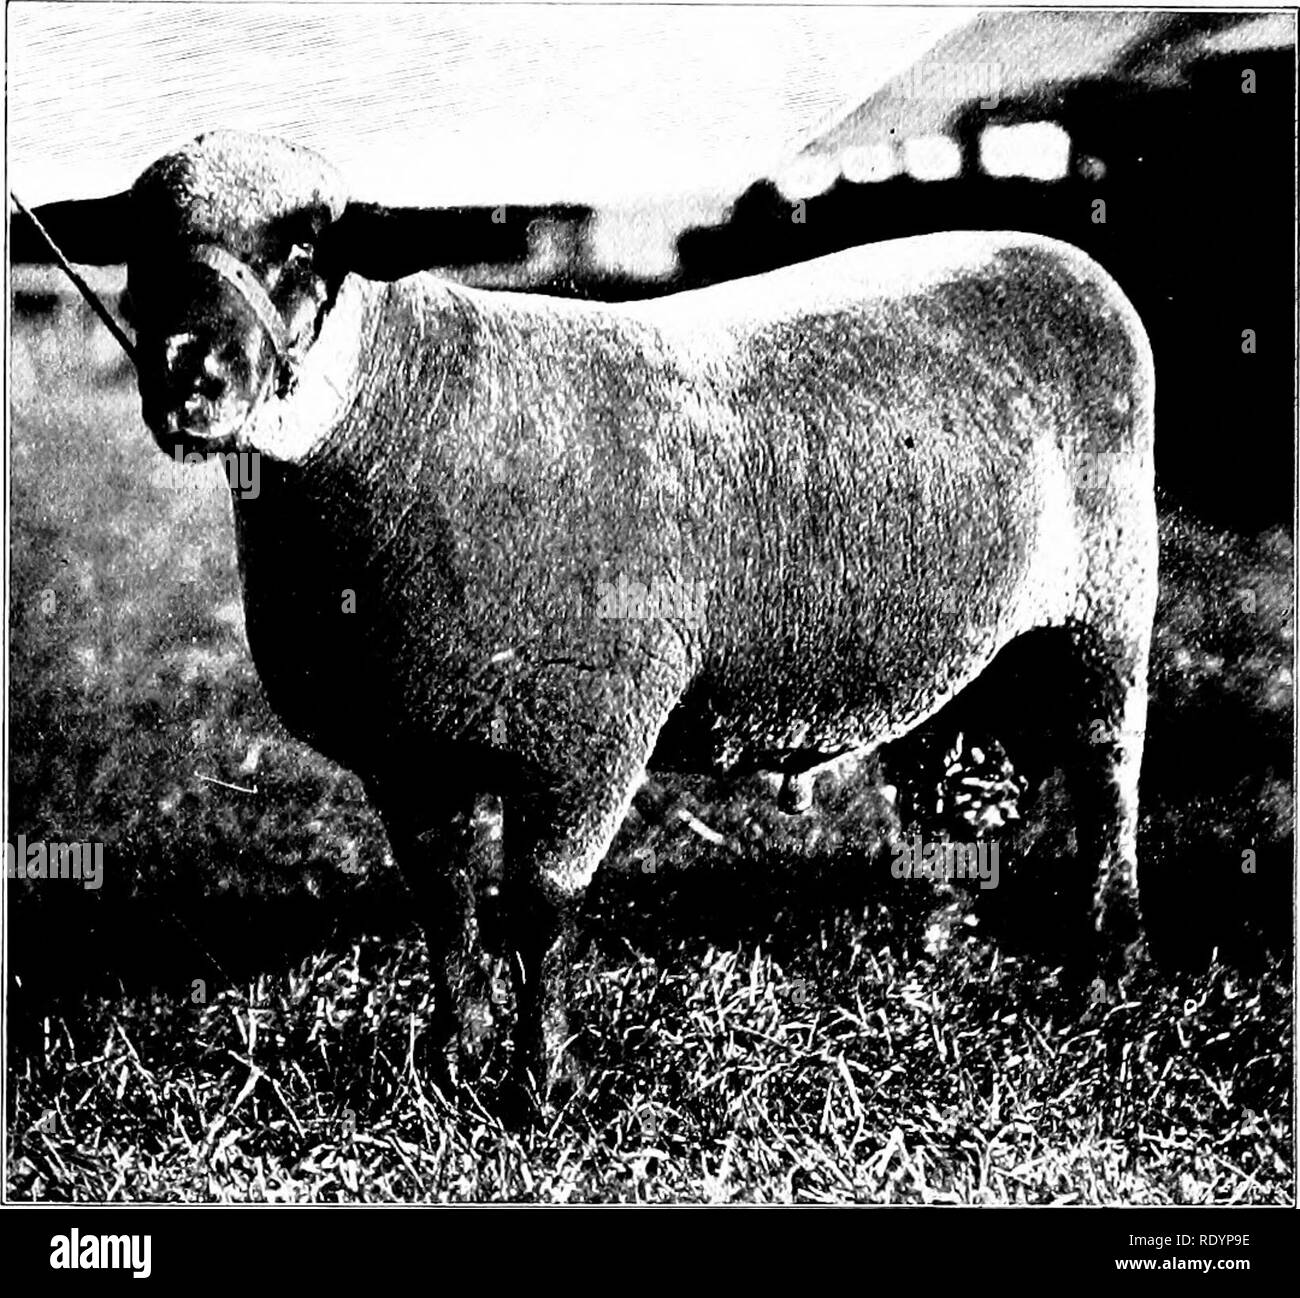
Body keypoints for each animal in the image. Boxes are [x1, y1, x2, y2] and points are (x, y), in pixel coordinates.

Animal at [19, 130, 1158, 1101]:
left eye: (304, 241)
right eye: (141, 247)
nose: (186, 372)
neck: (399, 407)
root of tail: (1061, 255)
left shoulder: (586, 730)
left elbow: (540, 908)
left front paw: (543, 1081)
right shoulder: (410, 748)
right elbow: (444, 904)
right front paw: (454, 1059)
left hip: (1106, 603)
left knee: (1106, 782)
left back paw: (1103, 972)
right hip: (968, 642)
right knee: (955, 785)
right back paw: (929, 951)